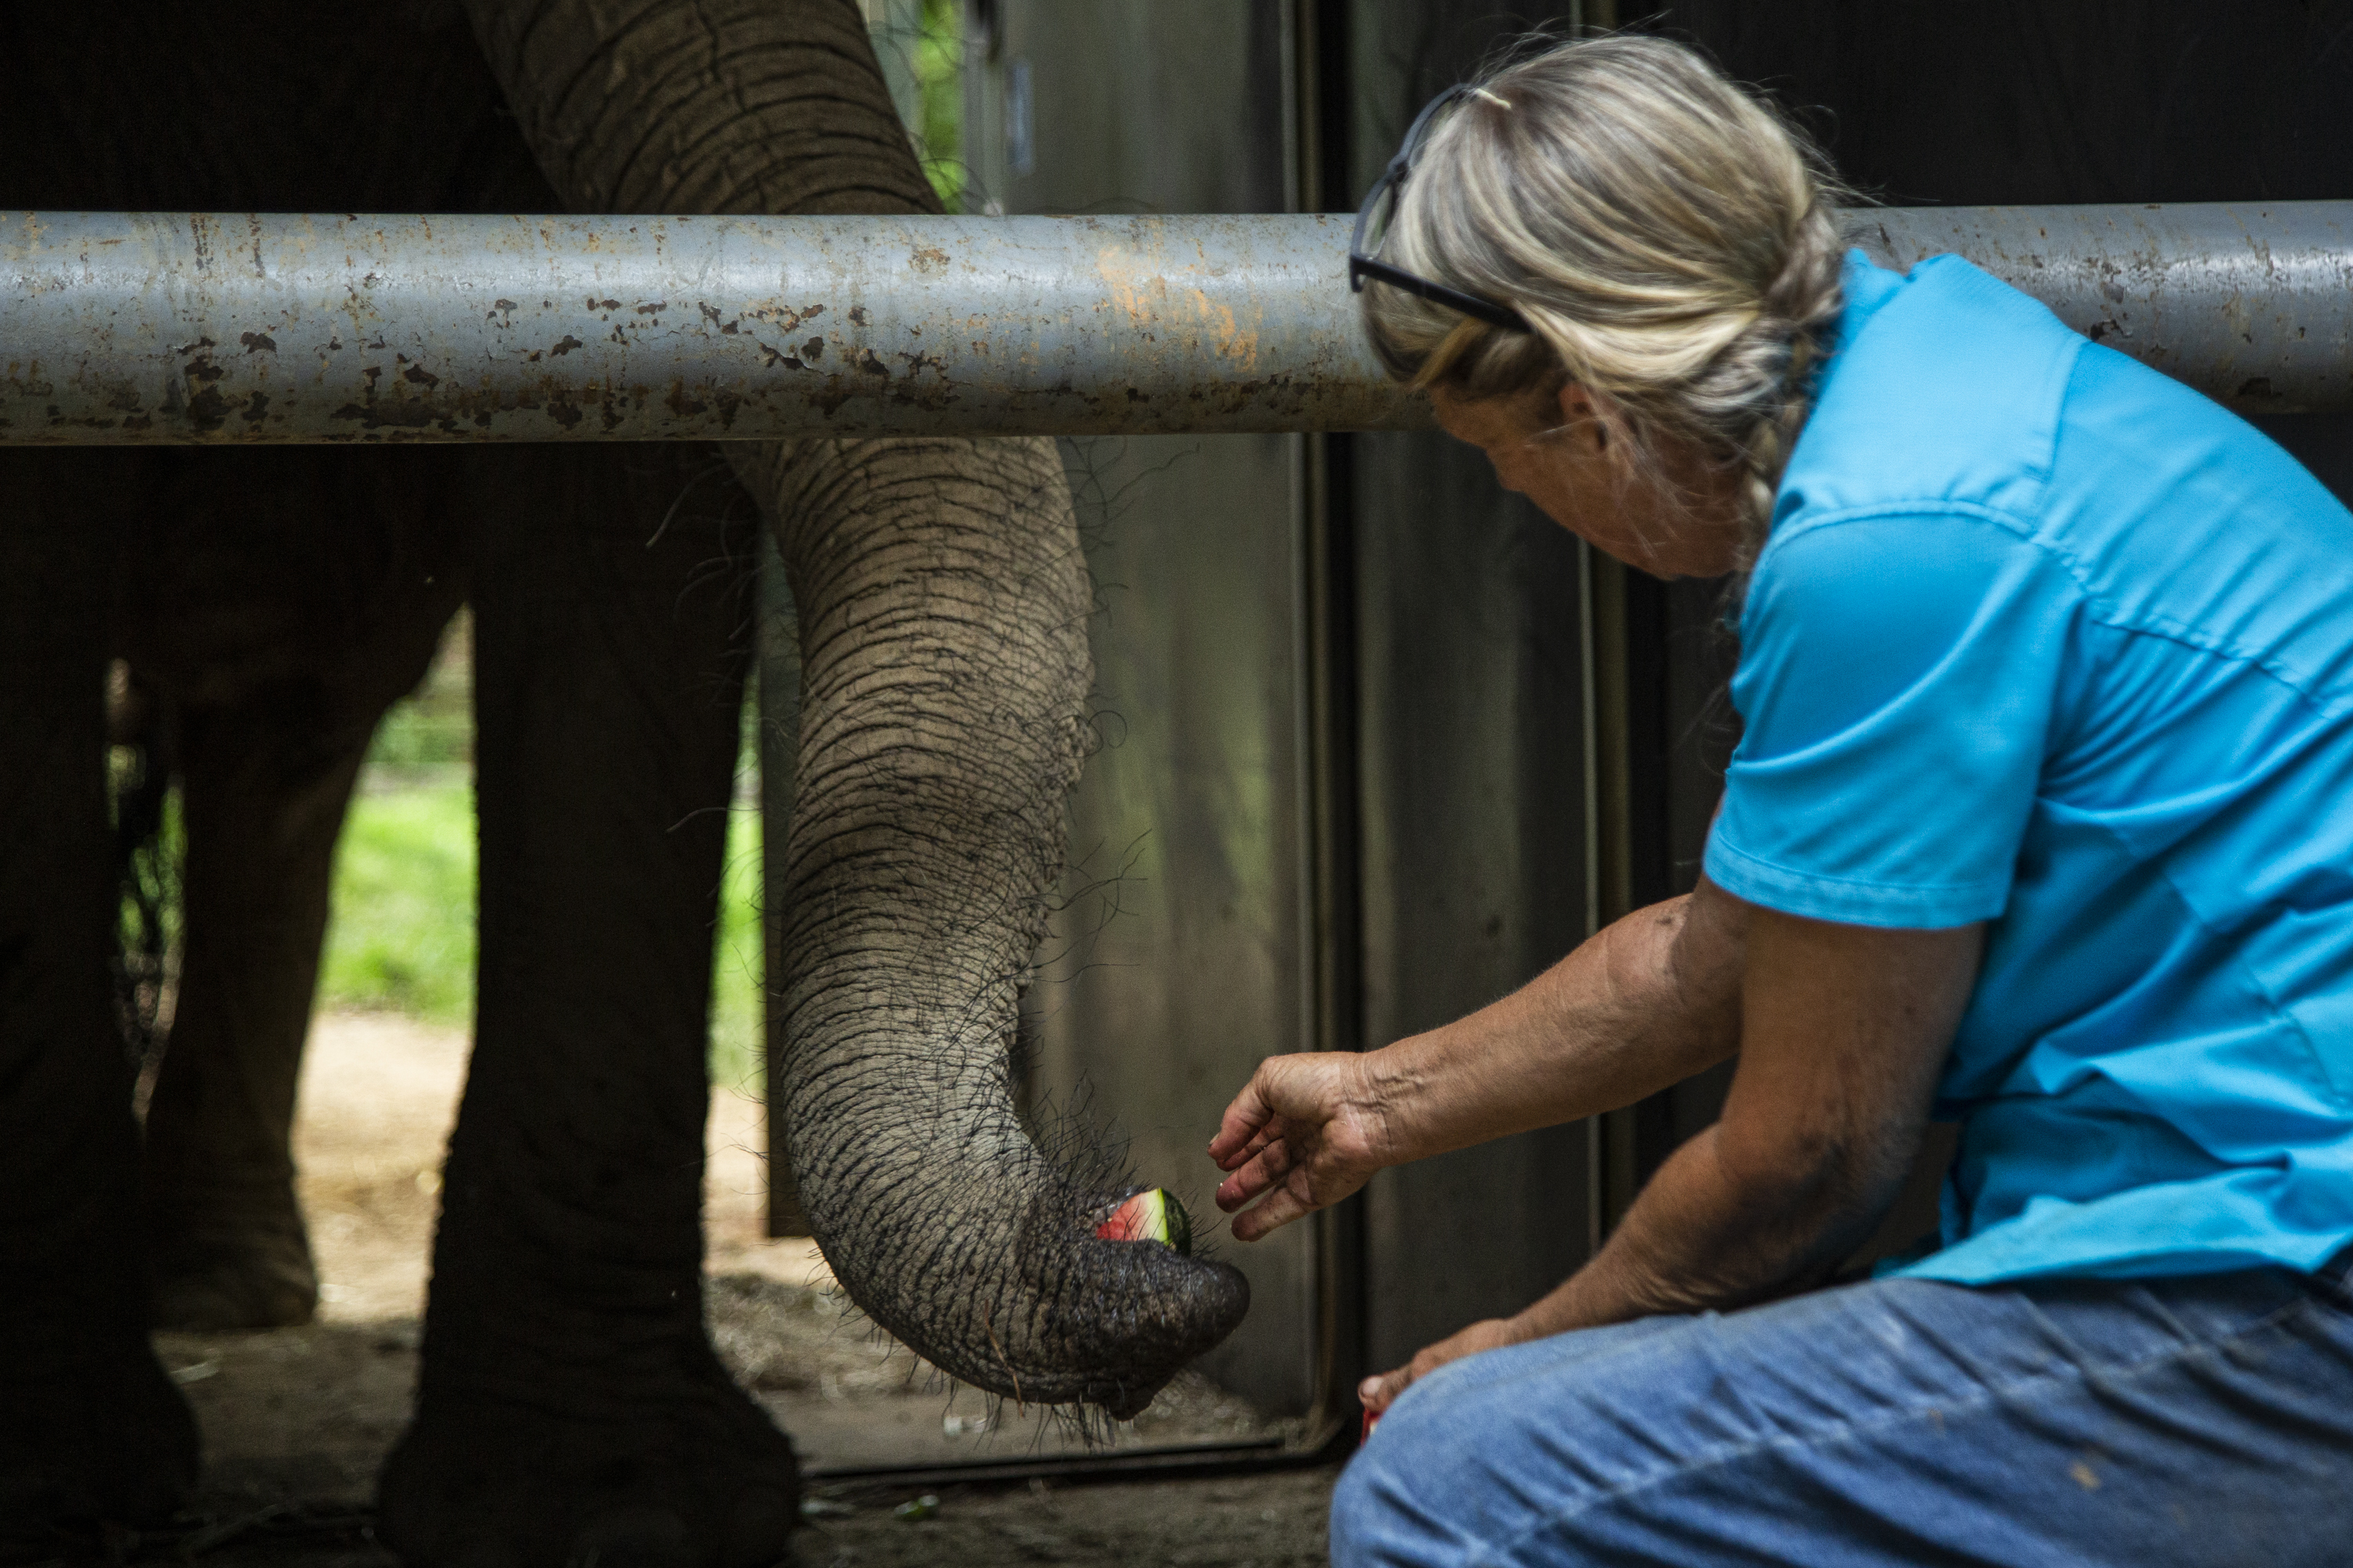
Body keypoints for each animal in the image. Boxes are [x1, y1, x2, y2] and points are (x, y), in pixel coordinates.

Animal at [0, 2, 1248, 1561]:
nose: (1174, 1246)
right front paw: (53, 1481)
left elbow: (618, 469)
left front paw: (618, 1508)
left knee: (296, 718)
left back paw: (227, 1287)